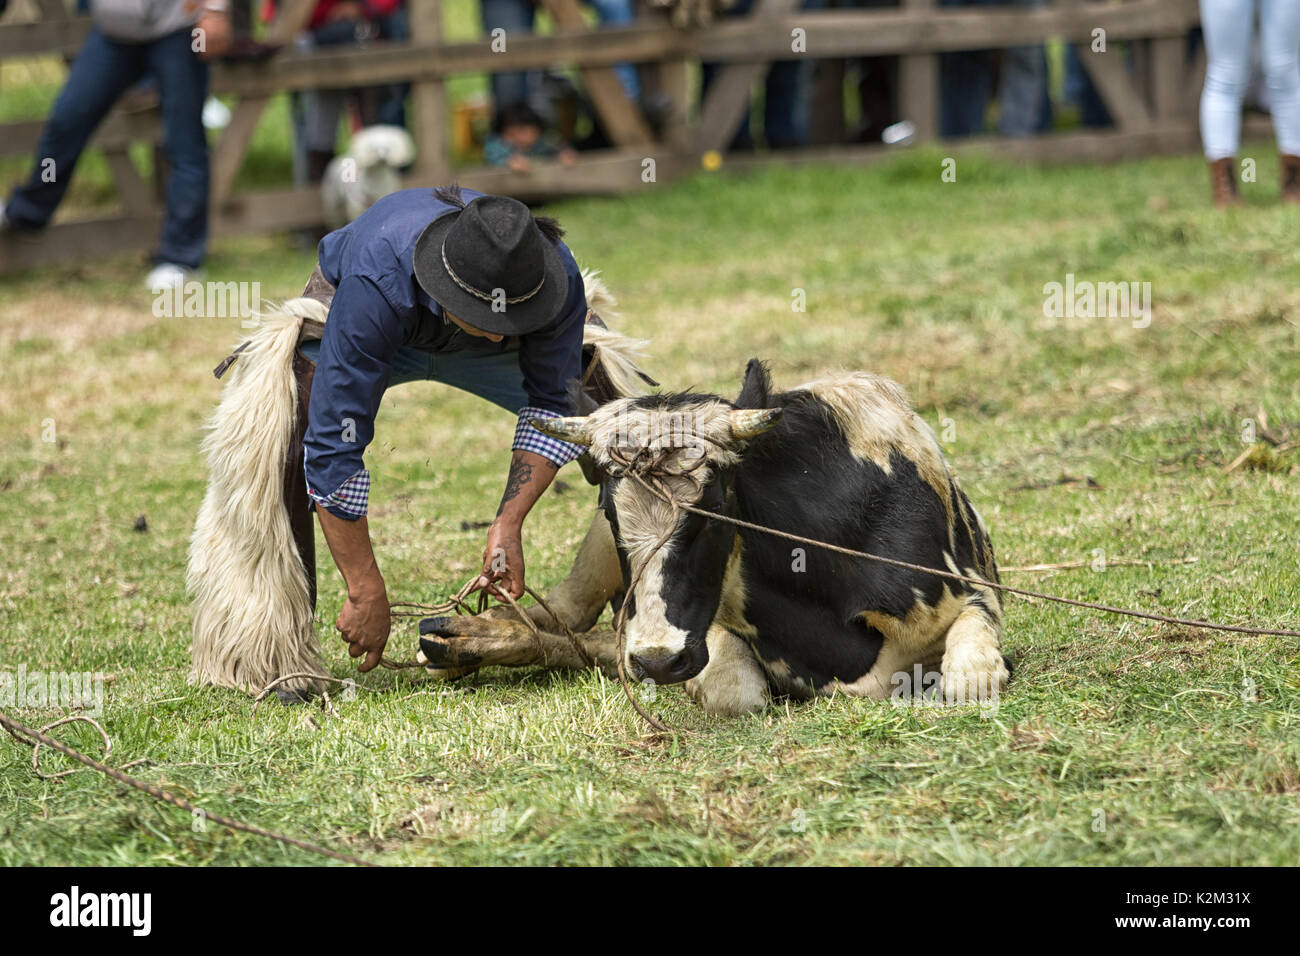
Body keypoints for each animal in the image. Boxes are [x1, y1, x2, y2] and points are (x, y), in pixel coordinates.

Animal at [417, 359, 1011, 714]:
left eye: (714, 509)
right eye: (610, 510)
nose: (659, 661)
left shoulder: (973, 596)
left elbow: (970, 678)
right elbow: (733, 690)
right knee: (569, 622)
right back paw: (462, 636)